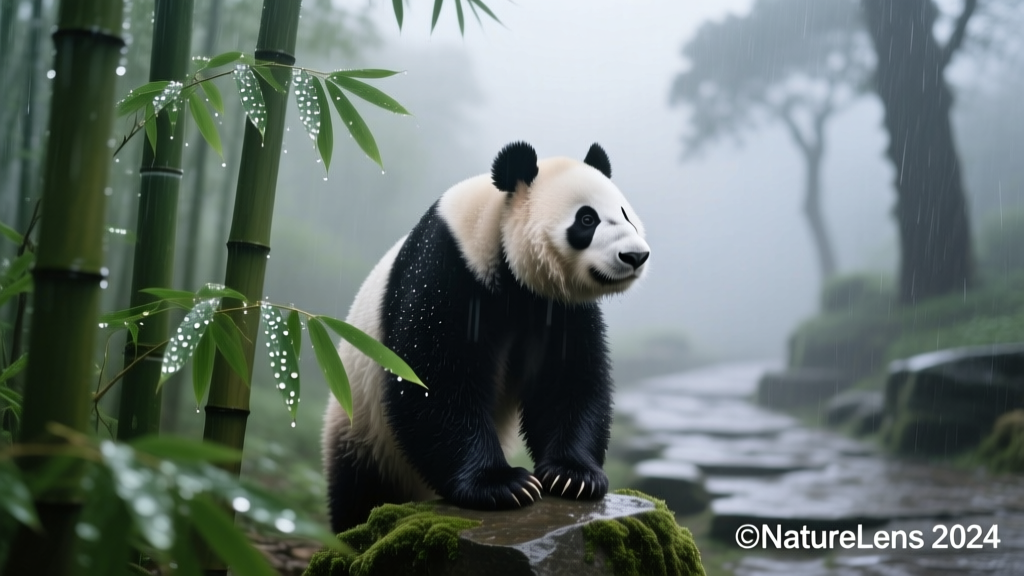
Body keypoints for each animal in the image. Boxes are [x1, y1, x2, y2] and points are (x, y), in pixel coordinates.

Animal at [322, 141, 650, 533]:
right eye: (587, 219)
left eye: (626, 214)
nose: (635, 256)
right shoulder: (448, 268)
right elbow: (433, 380)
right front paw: (504, 485)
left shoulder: (561, 307)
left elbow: (569, 378)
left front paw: (574, 476)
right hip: (361, 425)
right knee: (358, 488)